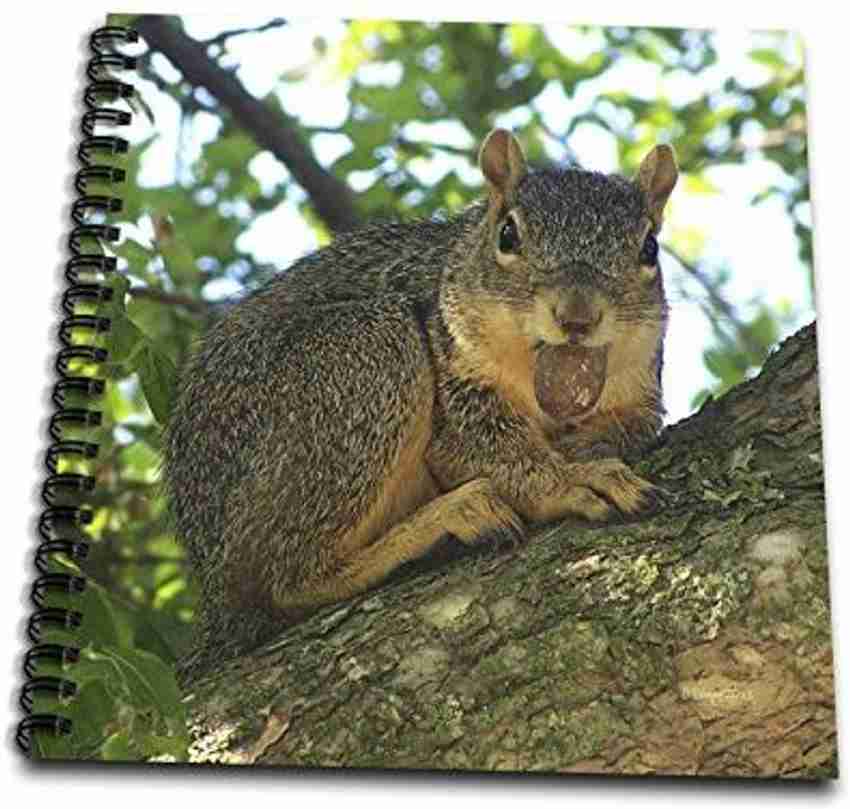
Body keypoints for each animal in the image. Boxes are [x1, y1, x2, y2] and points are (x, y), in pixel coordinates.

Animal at [162, 129, 678, 677]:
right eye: (508, 235)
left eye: (649, 247)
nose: (577, 316)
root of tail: (213, 589)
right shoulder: (451, 369)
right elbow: (484, 450)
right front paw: (575, 477)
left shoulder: (640, 391)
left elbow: (632, 427)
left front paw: (586, 448)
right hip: (364, 361)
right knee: (289, 581)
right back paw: (445, 518)